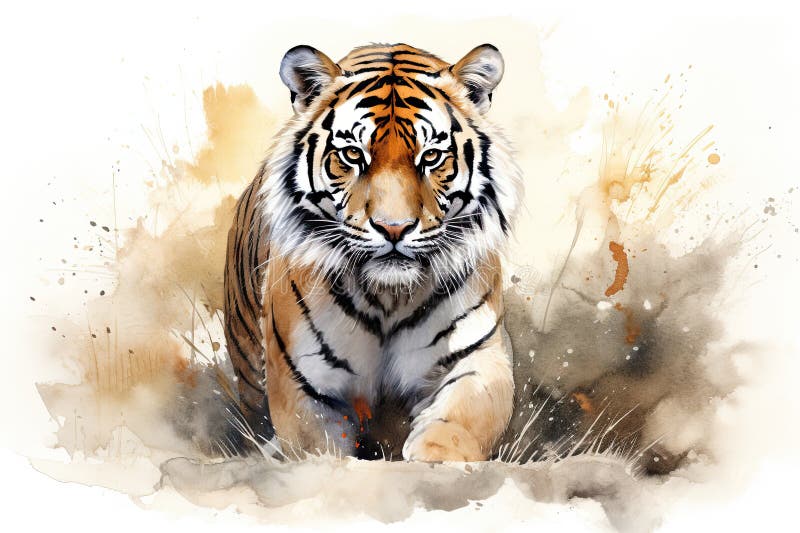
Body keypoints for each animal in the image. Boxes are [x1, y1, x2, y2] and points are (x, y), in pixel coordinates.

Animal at [223, 43, 523, 462]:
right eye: (352, 155)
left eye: (431, 157)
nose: (393, 228)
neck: (388, 297)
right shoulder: (304, 383)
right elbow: (318, 449)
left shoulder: (477, 356)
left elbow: (462, 420)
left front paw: (436, 455)